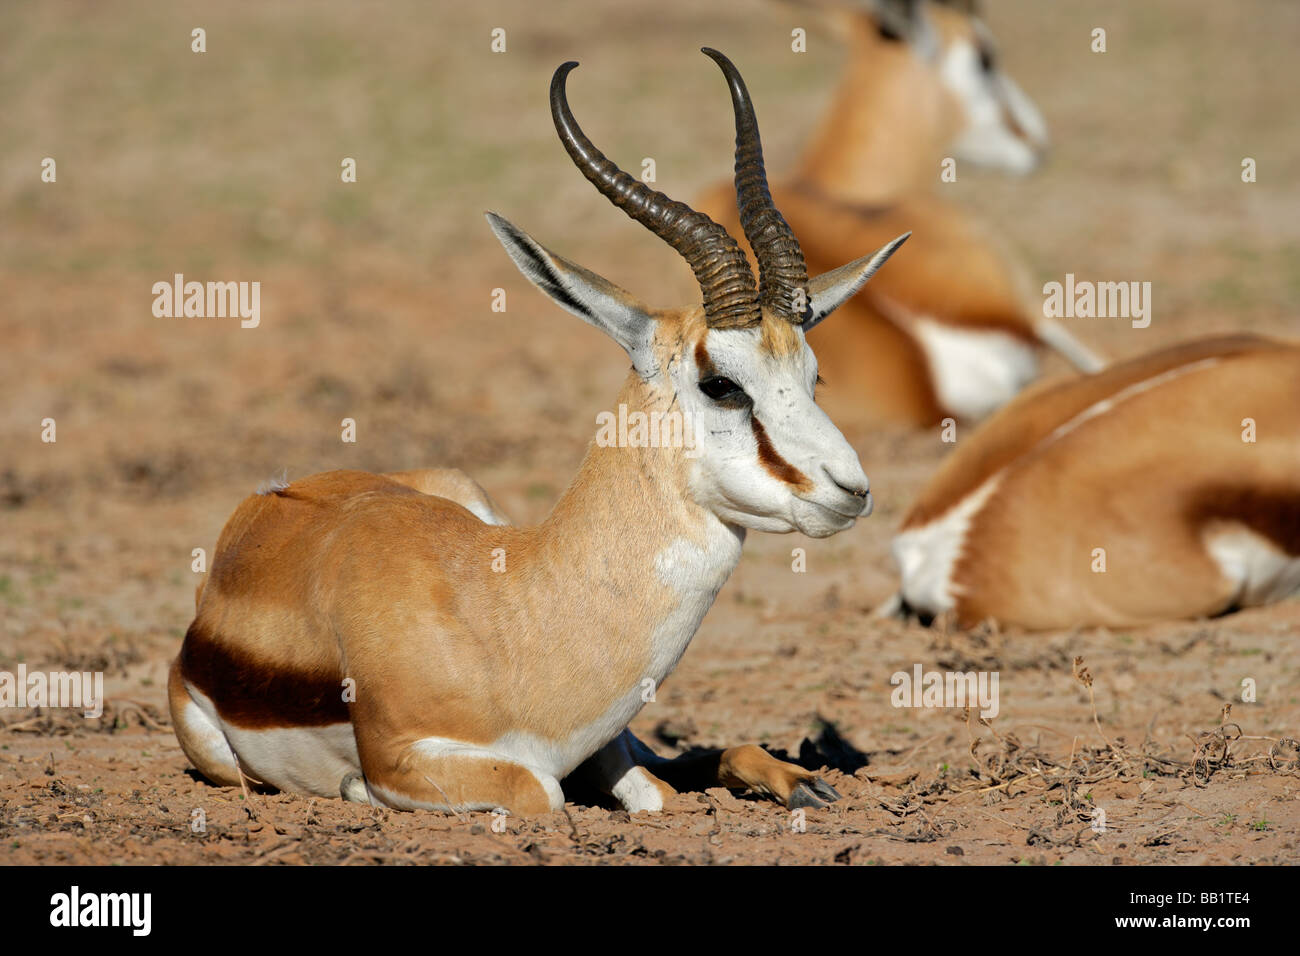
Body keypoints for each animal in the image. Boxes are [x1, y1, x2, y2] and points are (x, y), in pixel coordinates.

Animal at [168, 50, 909, 815]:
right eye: (722, 383)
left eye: (814, 375)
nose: (852, 489)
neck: (508, 619)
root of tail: (260, 506)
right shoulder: (401, 759)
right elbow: (539, 788)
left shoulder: (604, 739)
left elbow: (653, 787)